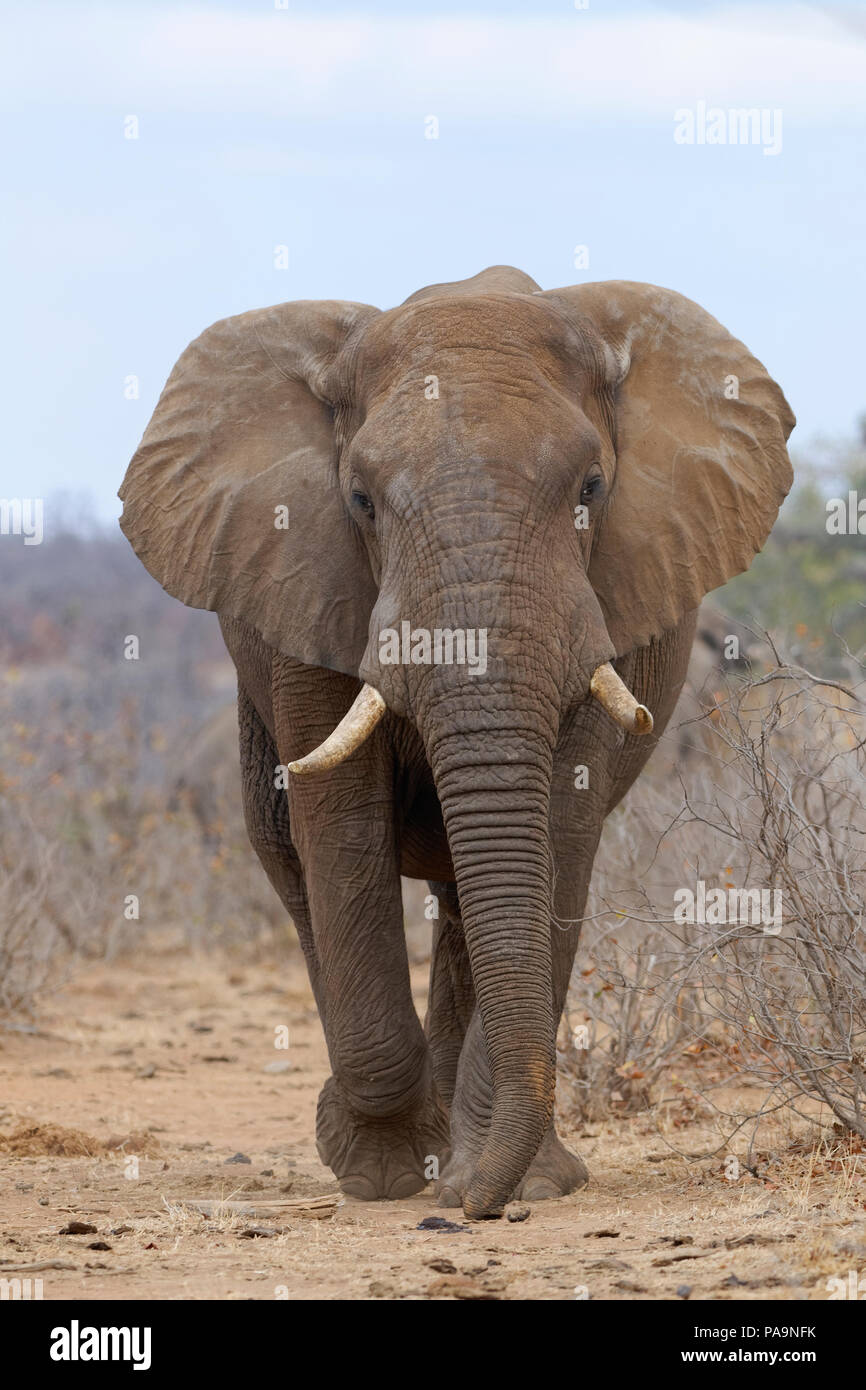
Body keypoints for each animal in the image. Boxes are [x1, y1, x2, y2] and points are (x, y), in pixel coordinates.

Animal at [119, 265, 794, 1218]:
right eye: (360, 500)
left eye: (591, 488)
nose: (472, 1208)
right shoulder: (310, 583)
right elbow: (342, 829)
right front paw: (387, 1175)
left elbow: (558, 827)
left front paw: (511, 1180)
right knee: (289, 857)